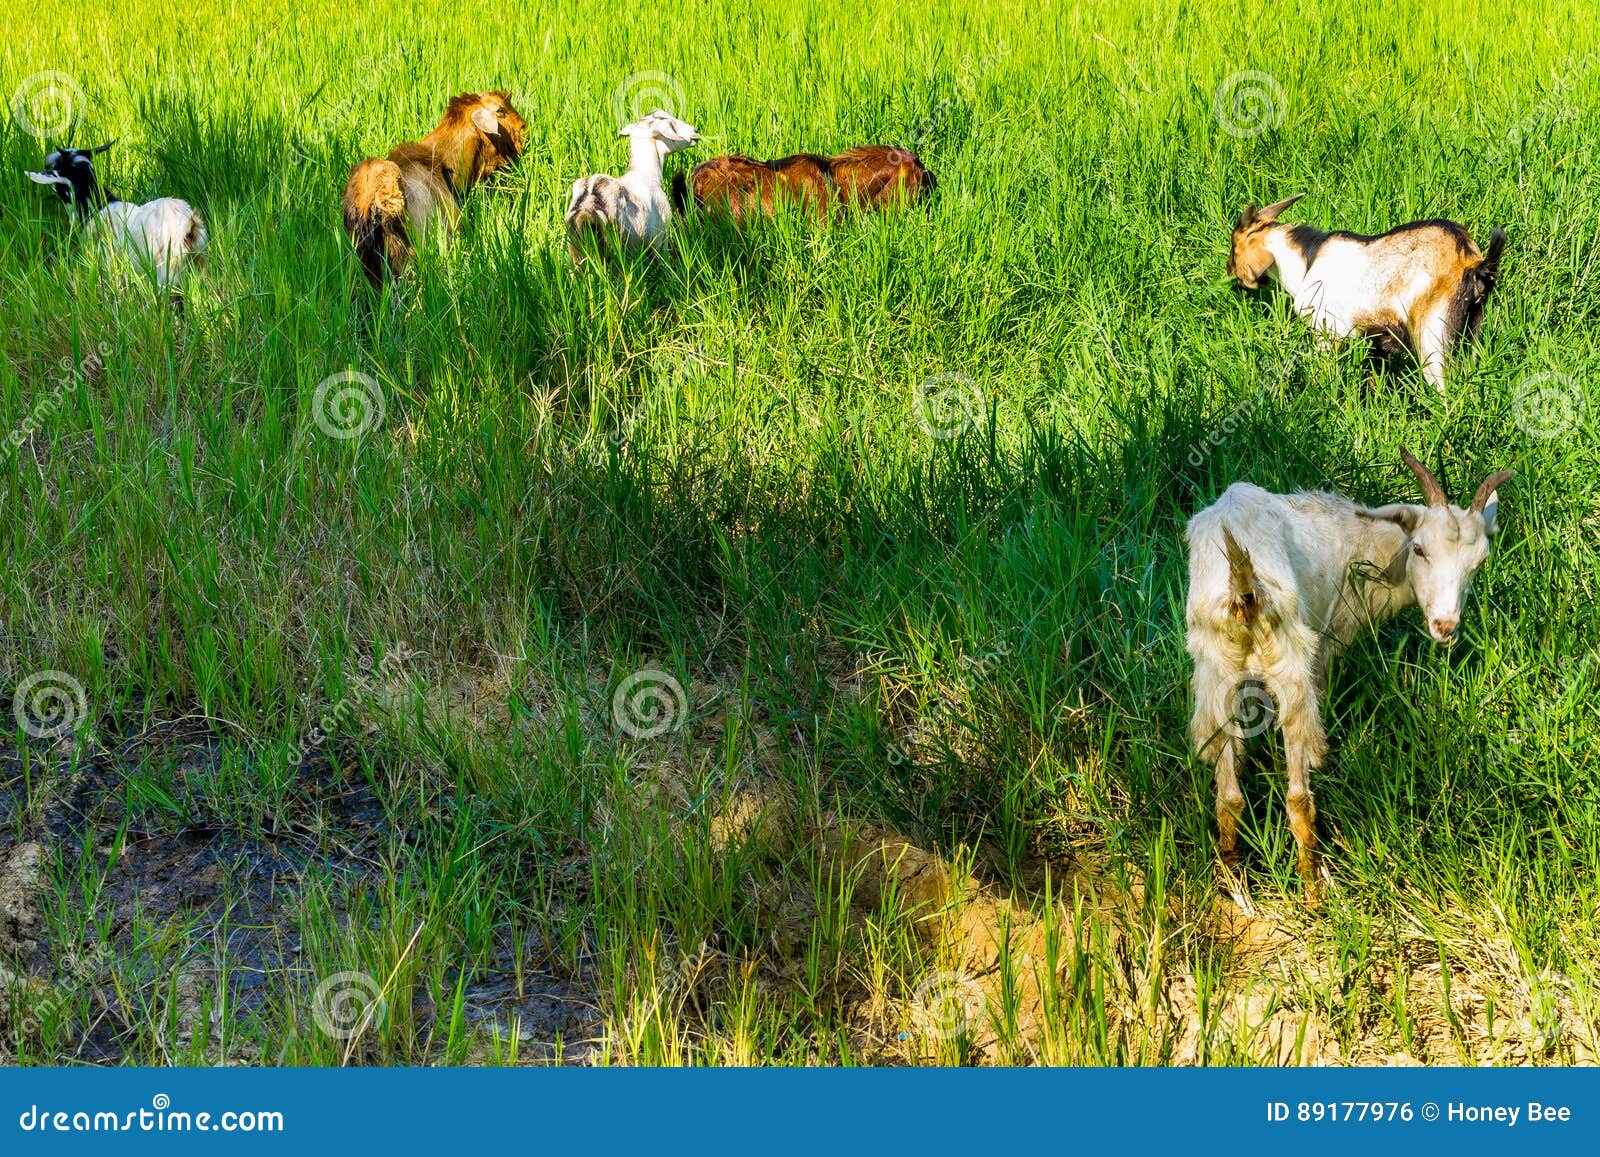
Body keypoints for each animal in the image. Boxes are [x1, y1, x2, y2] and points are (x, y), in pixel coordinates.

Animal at [565, 110, 699, 265]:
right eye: (670, 123)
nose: (695, 131)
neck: (646, 173)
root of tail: (586, 206)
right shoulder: (661, 237)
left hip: (575, 250)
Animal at [1185, 451, 1514, 897]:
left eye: (1479, 562)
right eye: (1420, 549)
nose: (1445, 626)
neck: (1363, 544)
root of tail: (1245, 590)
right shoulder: (1325, 650)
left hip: (1214, 672)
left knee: (1229, 796)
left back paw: (1237, 886)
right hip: (1293, 670)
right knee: (1297, 795)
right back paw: (1313, 891)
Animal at [1228, 194, 1506, 392]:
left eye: (1234, 245)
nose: (1229, 271)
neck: (1306, 261)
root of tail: (1473, 265)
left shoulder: (1328, 332)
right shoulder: (1375, 340)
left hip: (1434, 339)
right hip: (1472, 335)